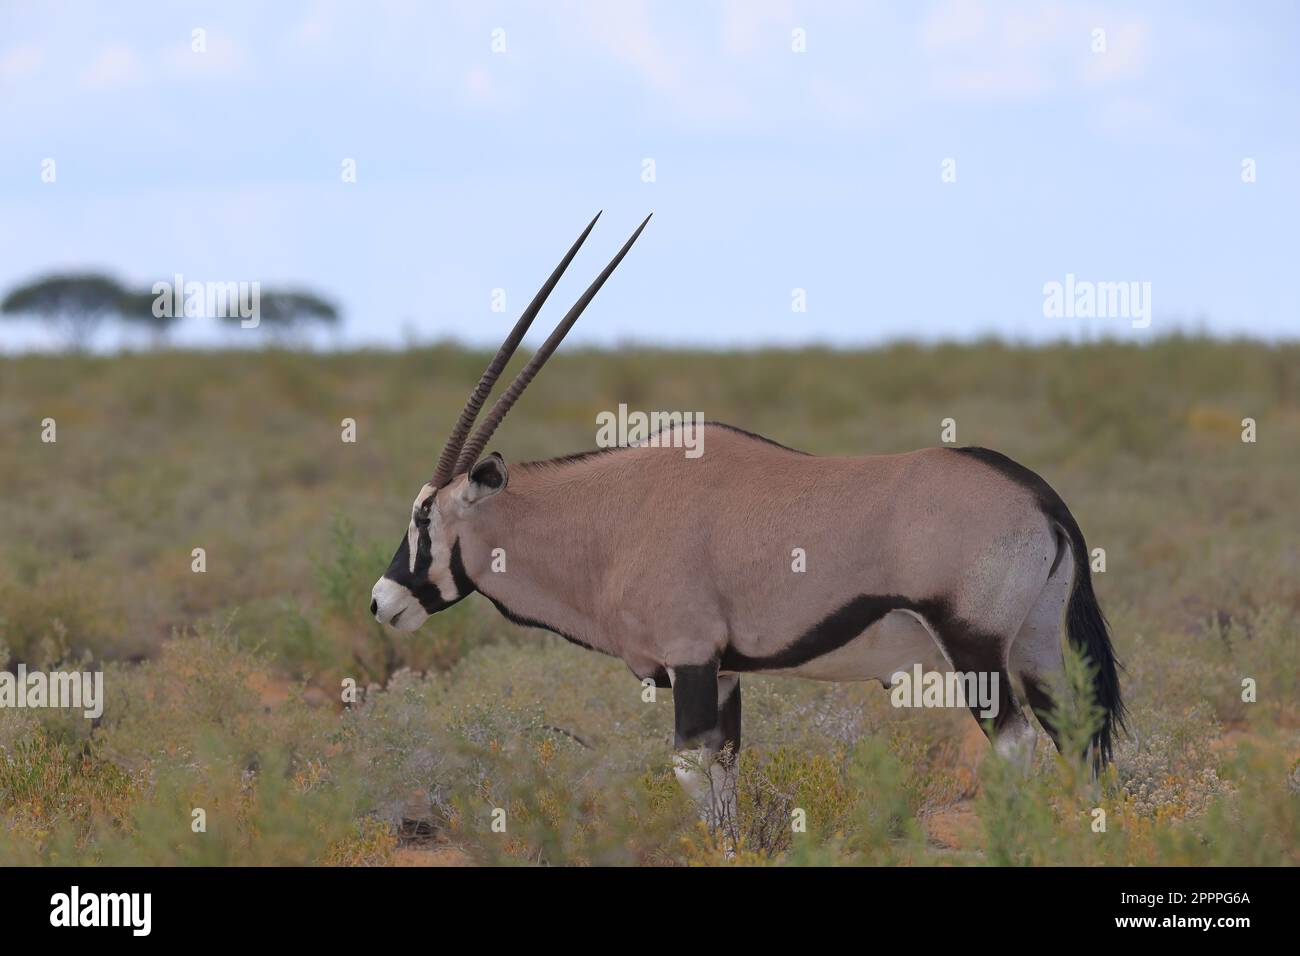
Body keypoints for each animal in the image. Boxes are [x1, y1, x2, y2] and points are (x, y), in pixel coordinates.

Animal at [370, 213, 1125, 824]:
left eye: (424, 517)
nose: (382, 601)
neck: (612, 521)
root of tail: (1040, 497)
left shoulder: (690, 659)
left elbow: (689, 770)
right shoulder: (726, 670)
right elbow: (725, 774)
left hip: (975, 648)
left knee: (1016, 744)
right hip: (1034, 647)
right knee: (1076, 740)